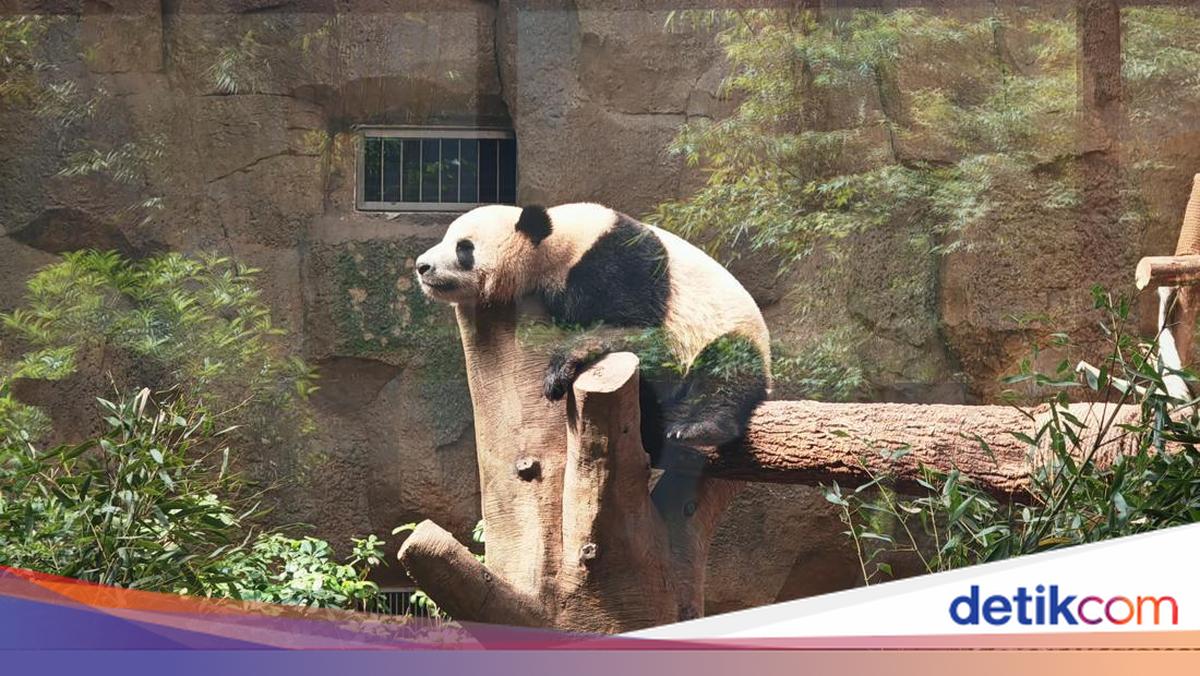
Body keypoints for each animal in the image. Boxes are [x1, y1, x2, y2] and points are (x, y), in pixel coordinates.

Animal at [414, 202, 771, 464]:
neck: (555, 244)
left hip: (729, 330)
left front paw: (561, 368)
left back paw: (697, 427)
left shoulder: (620, 262)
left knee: (725, 371)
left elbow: (645, 334)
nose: (421, 266)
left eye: (464, 248)